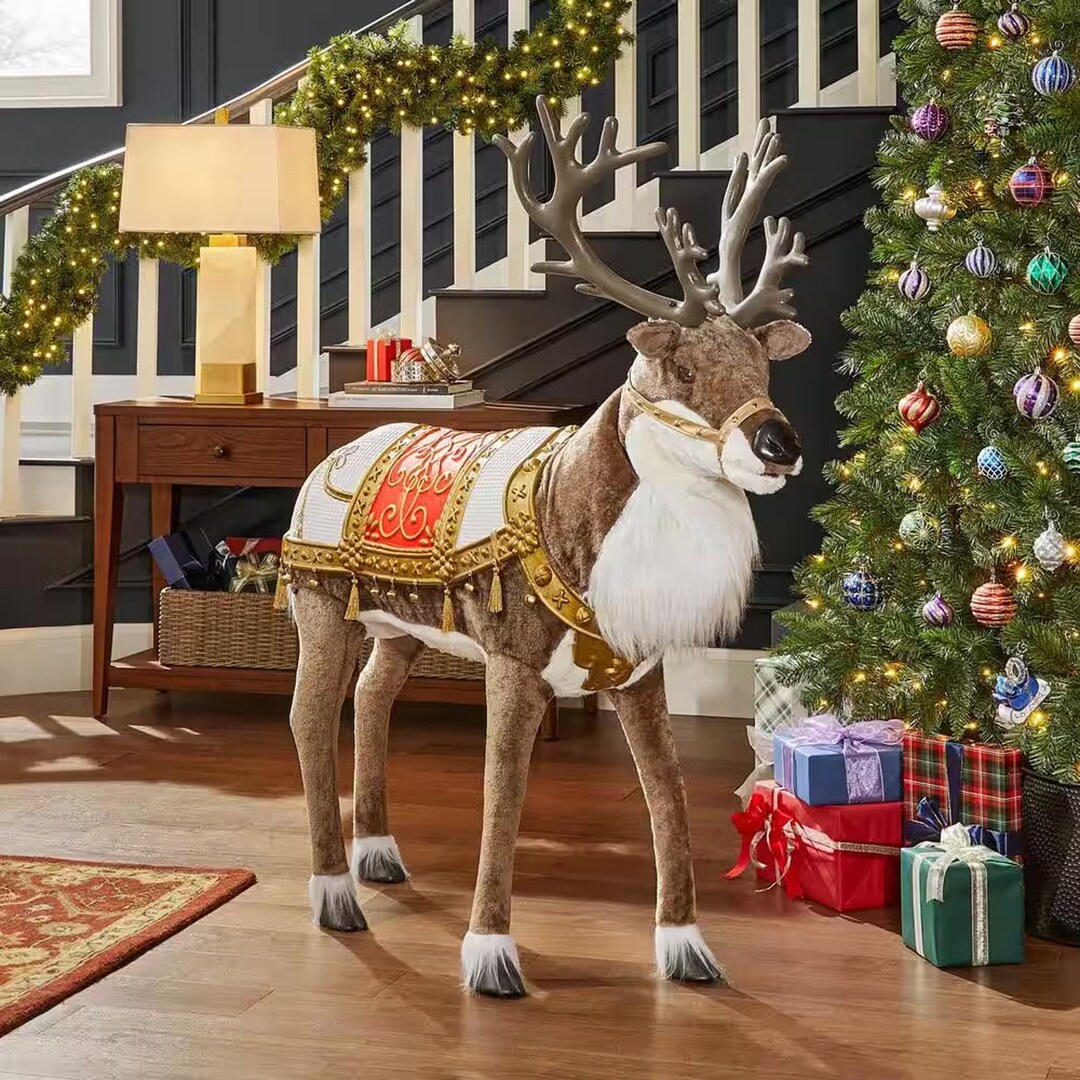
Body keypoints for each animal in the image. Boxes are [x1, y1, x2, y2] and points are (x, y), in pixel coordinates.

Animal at [282, 97, 810, 998]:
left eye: (761, 367)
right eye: (681, 370)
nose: (780, 445)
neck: (583, 534)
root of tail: (325, 461)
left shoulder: (639, 668)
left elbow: (668, 797)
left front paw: (687, 947)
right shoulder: (514, 659)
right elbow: (503, 796)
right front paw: (491, 956)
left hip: (399, 629)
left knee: (374, 699)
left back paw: (380, 854)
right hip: (323, 609)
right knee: (310, 717)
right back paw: (334, 894)